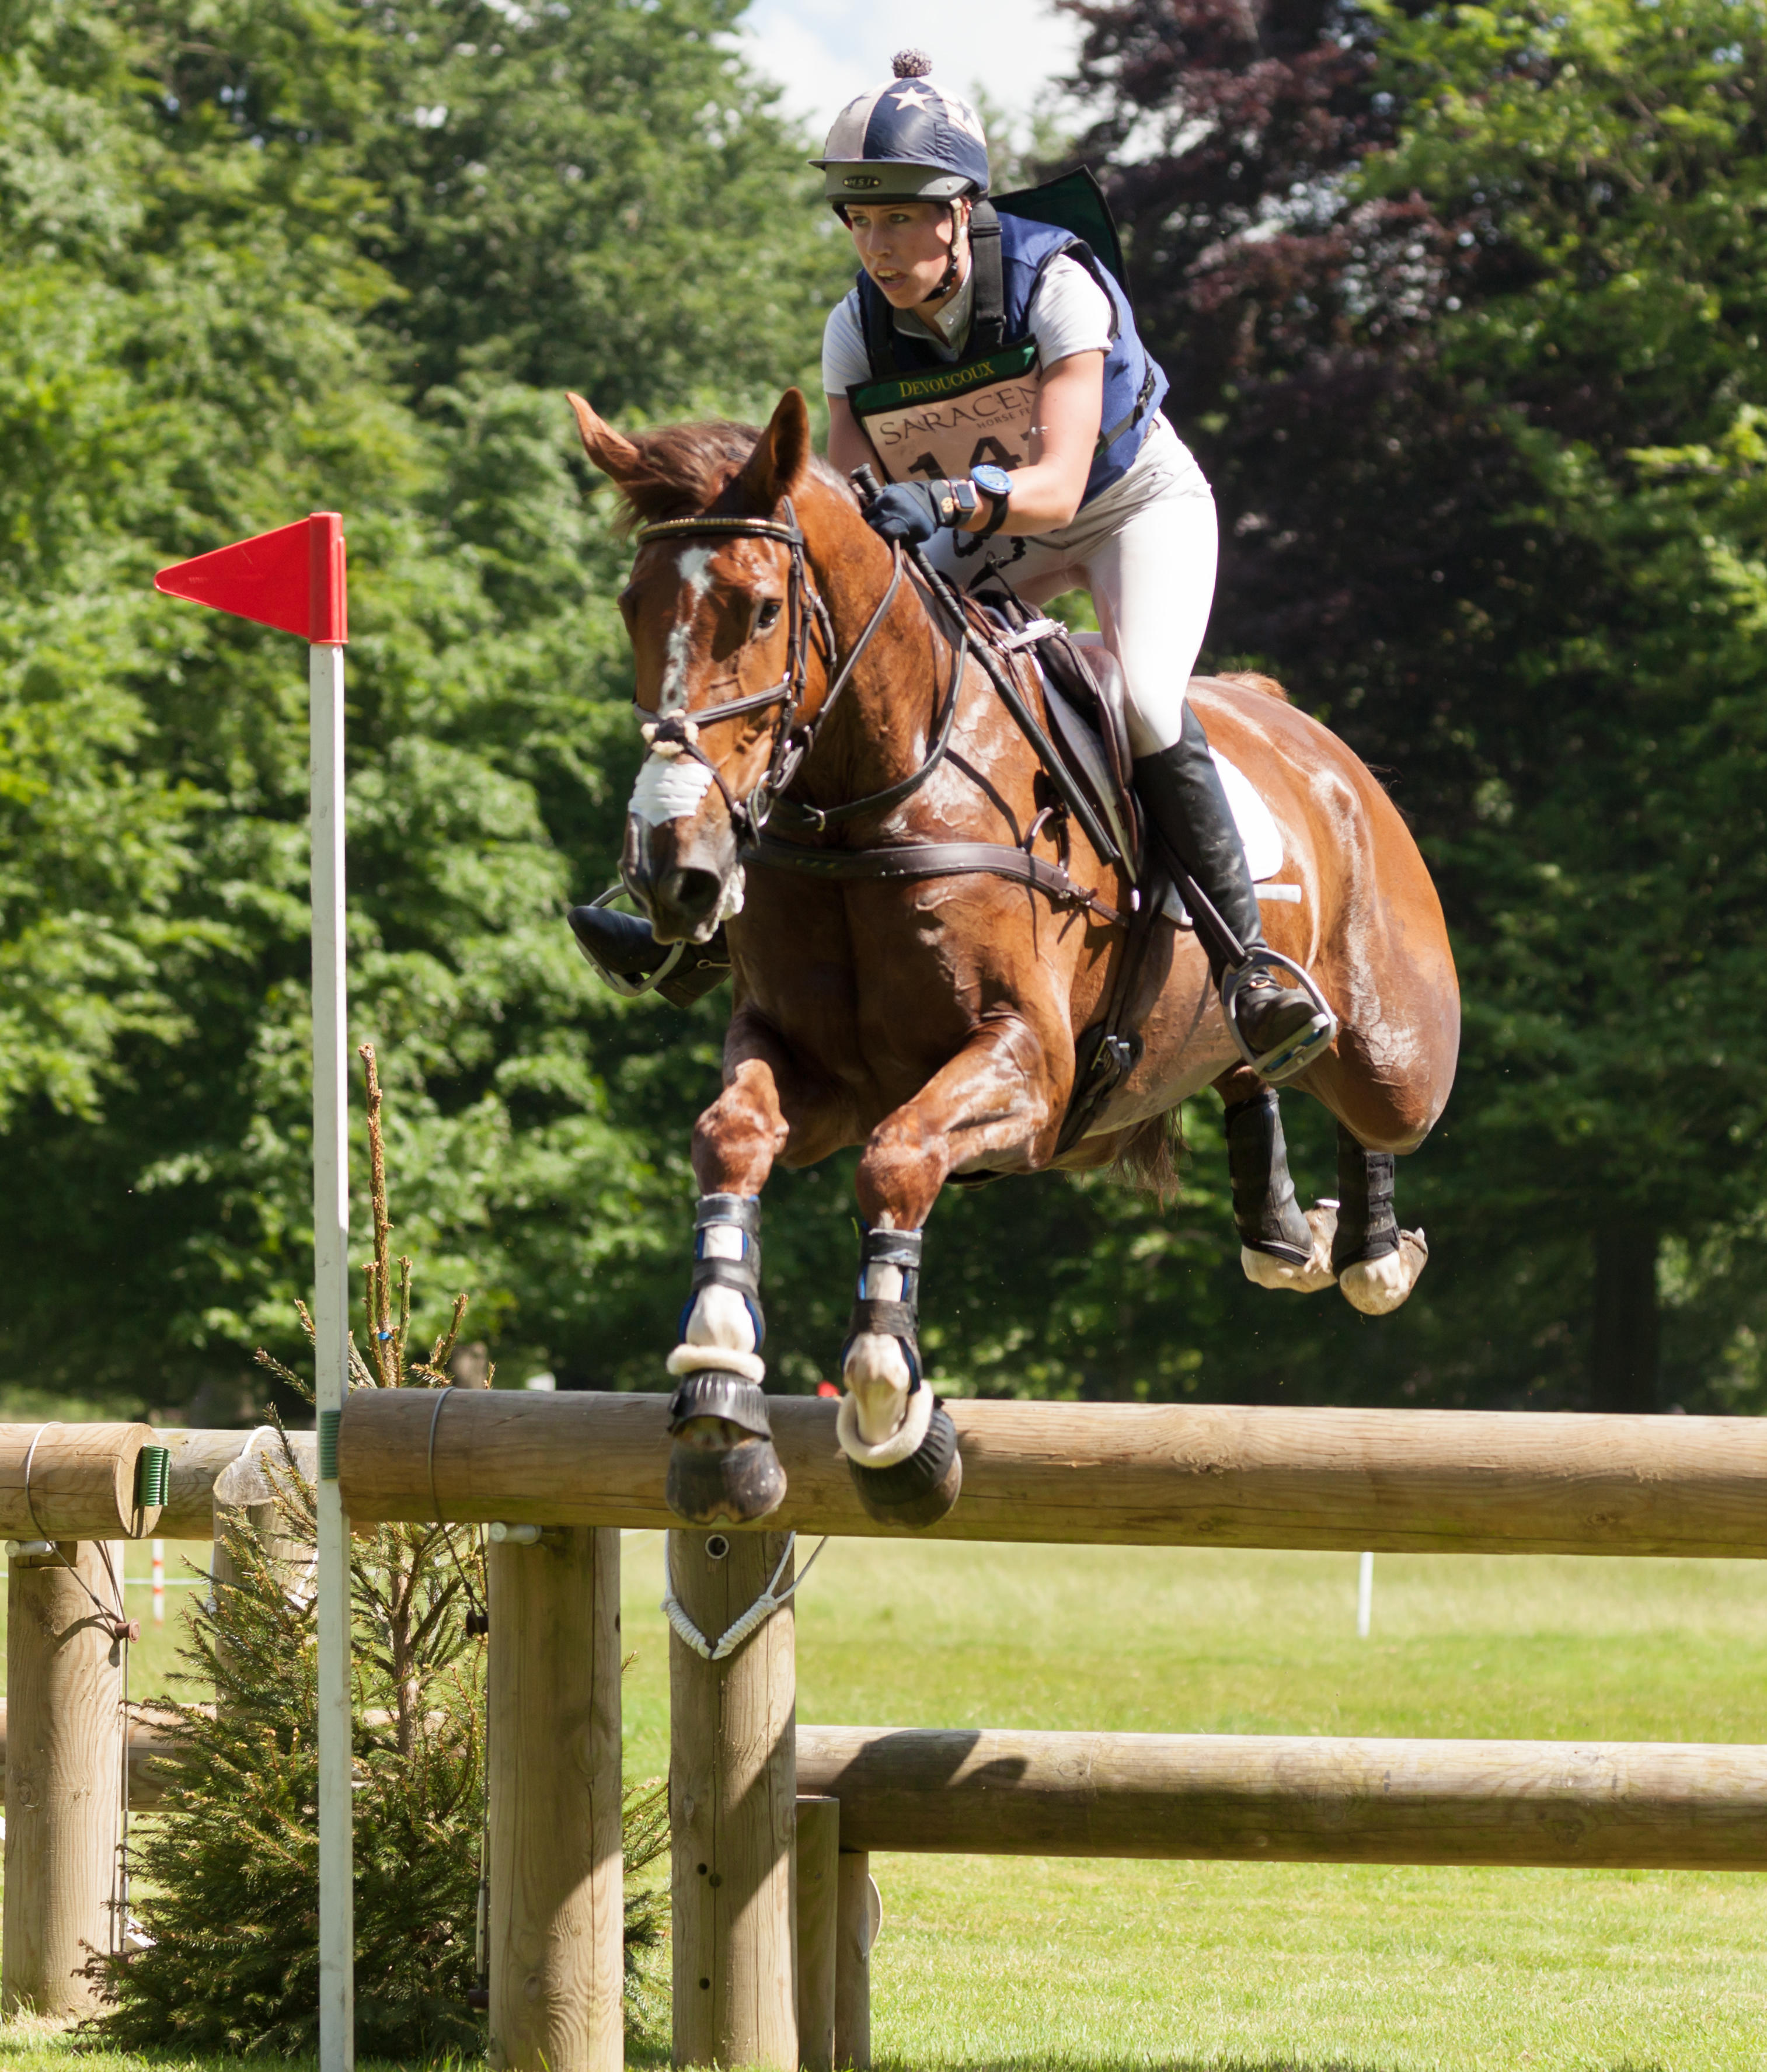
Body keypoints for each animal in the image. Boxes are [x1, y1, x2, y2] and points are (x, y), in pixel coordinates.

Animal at [569, 386, 1460, 1529]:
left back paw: (1369, 1245)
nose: (669, 868)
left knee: (1370, 1103)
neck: (877, 794)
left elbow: (896, 1158)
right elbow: (732, 1138)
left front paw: (892, 1414)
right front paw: (720, 1397)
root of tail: (1299, 727)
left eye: (761, 610)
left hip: (1398, 1055)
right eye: (631, 607)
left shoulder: (1025, 1069)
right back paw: (1282, 1227)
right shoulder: (812, 1068)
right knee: (1247, 1074)